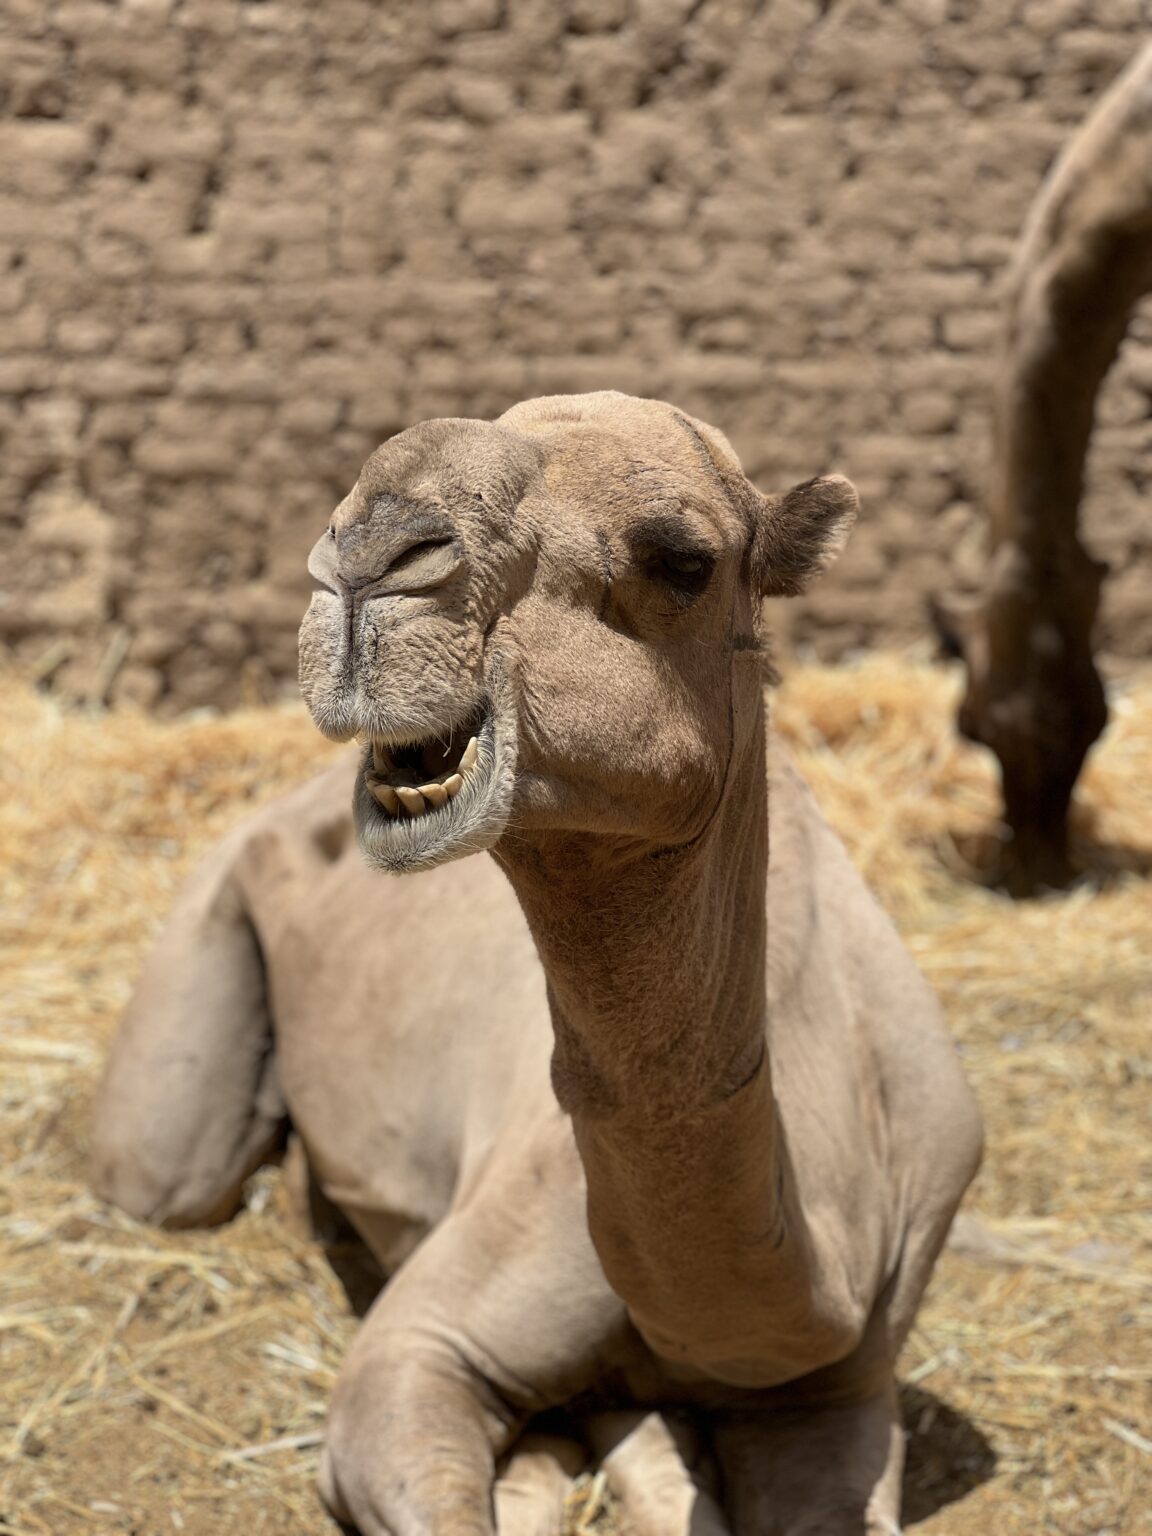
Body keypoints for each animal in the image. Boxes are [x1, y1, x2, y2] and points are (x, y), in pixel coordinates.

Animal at [93, 392, 983, 1535]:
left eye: (682, 558)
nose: (362, 560)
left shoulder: (847, 1383)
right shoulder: (420, 1349)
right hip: (192, 994)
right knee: (166, 1175)